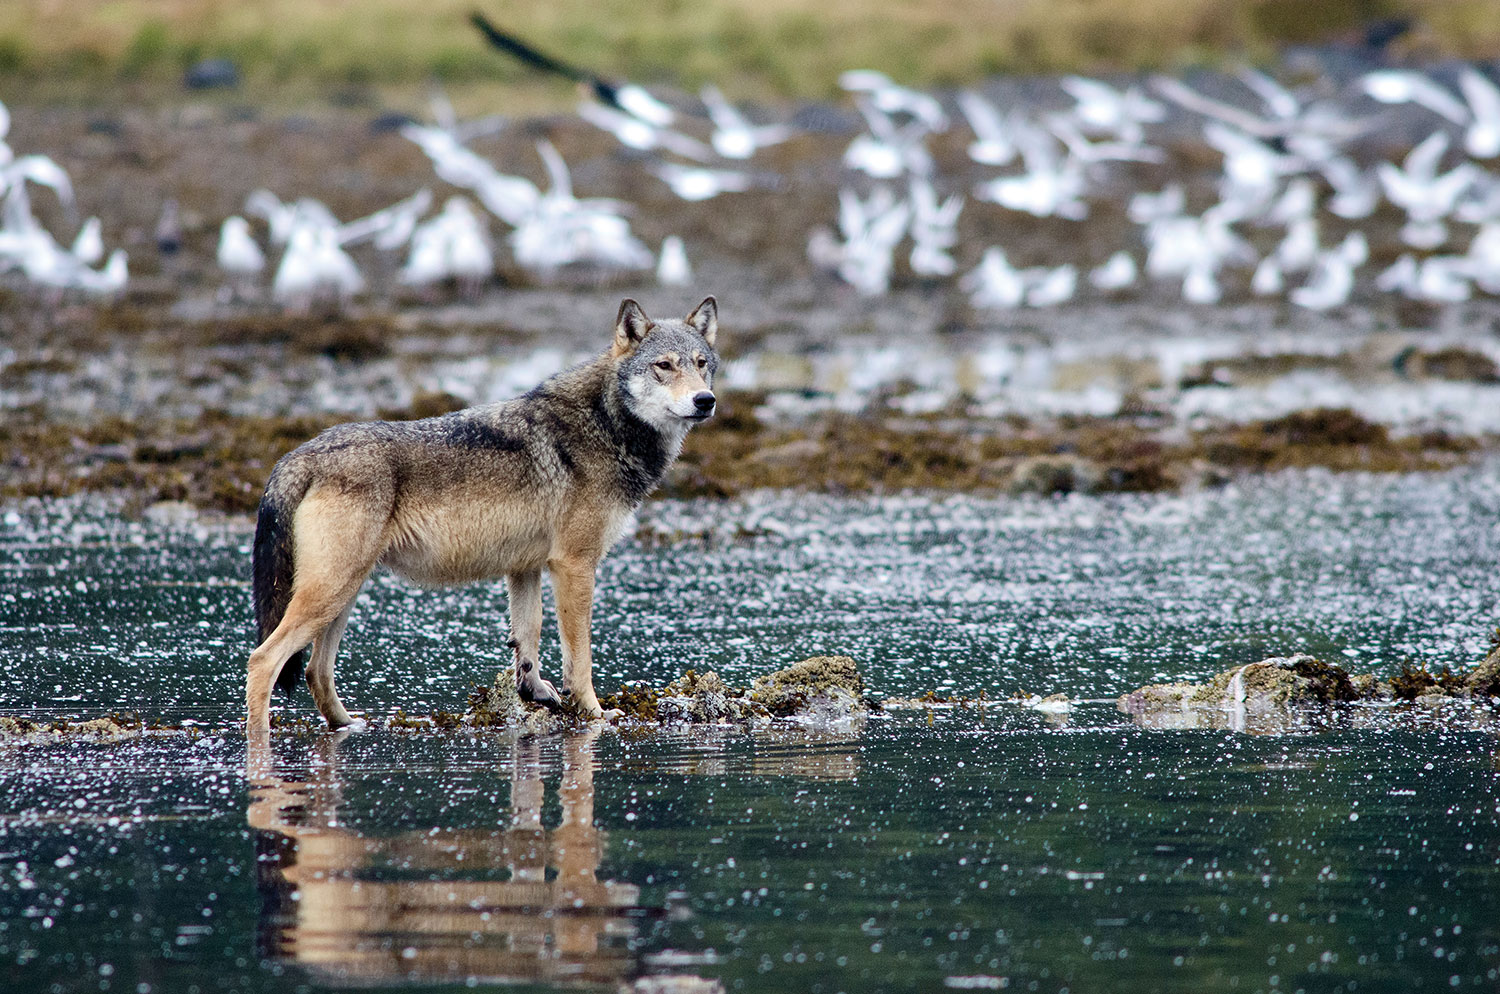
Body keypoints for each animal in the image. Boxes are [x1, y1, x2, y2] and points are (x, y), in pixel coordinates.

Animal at [246, 296, 719, 733]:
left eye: (701, 364)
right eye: (663, 366)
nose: (705, 400)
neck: (605, 422)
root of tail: (298, 455)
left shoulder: (526, 567)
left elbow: (528, 639)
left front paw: (534, 692)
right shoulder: (574, 565)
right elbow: (579, 655)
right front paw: (594, 712)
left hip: (343, 595)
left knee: (315, 671)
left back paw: (350, 726)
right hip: (330, 593)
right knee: (262, 660)